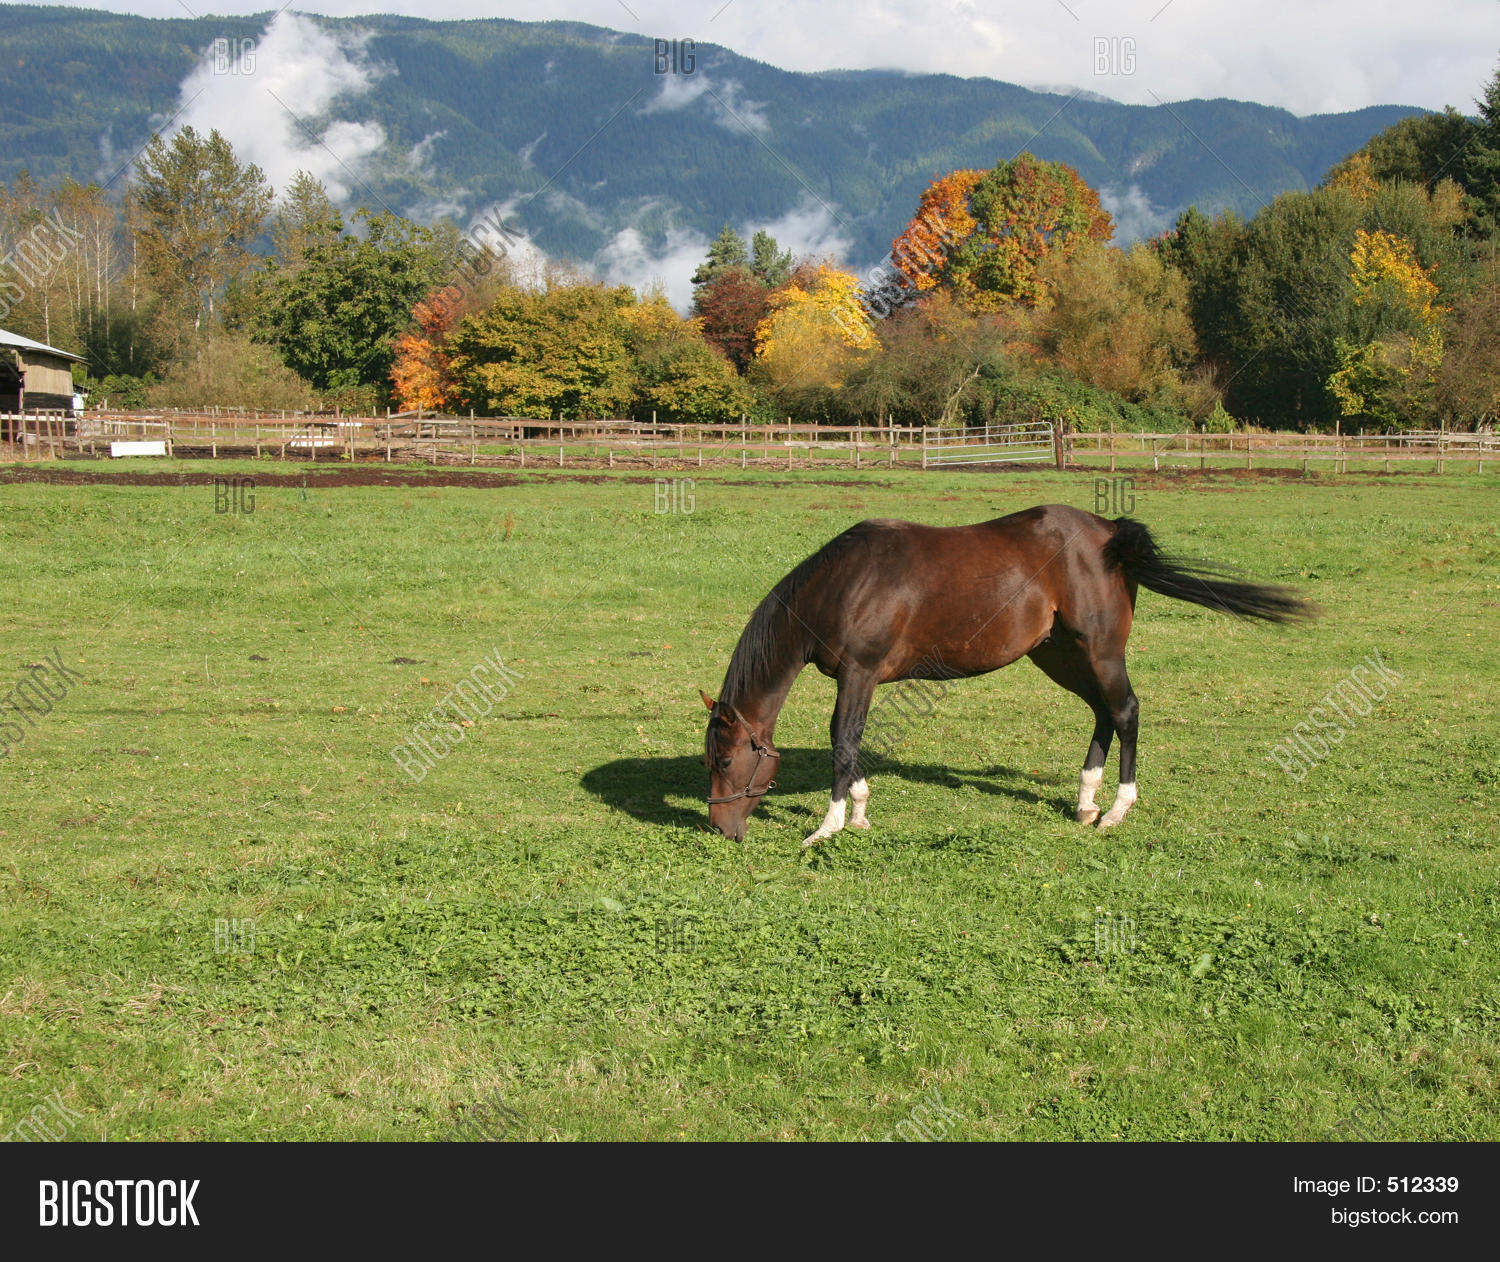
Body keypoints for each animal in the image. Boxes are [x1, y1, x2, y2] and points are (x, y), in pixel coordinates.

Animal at [701, 504, 1312, 846]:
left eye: (727, 762)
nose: (720, 828)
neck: (848, 582)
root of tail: (1110, 533)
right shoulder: (859, 679)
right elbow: (852, 745)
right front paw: (859, 814)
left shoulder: (859, 674)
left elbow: (843, 741)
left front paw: (828, 826)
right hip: (1060, 655)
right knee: (1103, 712)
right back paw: (1085, 802)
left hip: (1101, 651)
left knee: (1126, 711)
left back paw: (1117, 809)